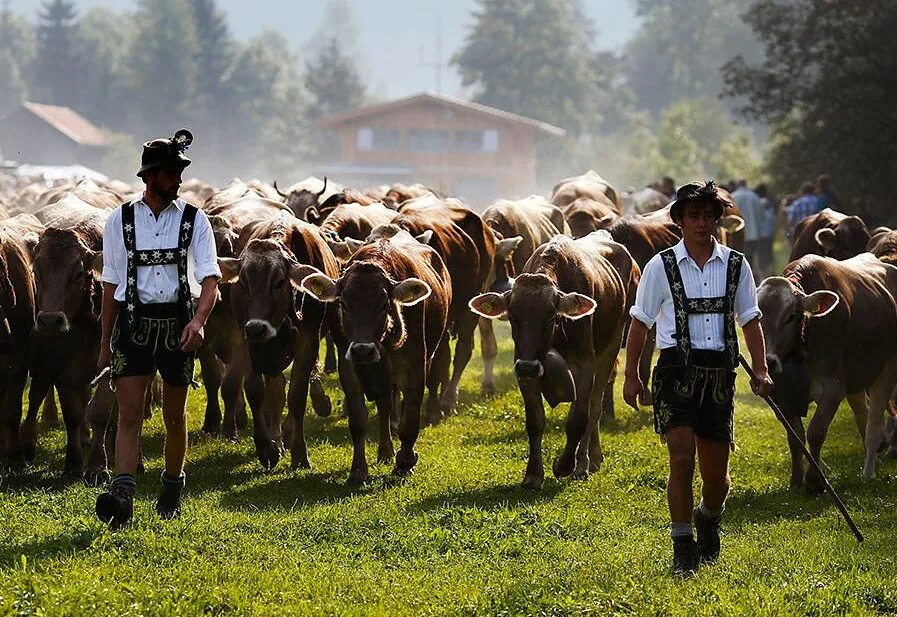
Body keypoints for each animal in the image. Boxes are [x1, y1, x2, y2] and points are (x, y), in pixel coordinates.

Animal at [220, 212, 340, 466]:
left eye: (278, 282)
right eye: (242, 283)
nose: (257, 328)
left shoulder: (309, 340)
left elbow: (297, 395)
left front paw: (299, 454)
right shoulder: (247, 339)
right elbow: (256, 390)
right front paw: (266, 448)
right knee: (275, 389)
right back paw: (277, 436)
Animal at [300, 229, 452, 484]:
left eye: (384, 304)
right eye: (344, 303)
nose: (363, 349)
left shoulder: (415, 365)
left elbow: (410, 416)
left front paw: (405, 461)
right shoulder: (349, 367)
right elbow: (358, 419)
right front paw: (358, 470)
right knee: (384, 405)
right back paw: (385, 452)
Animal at [472, 231, 632, 486]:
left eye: (550, 317)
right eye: (513, 317)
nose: (528, 368)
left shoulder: (585, 365)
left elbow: (578, 419)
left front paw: (565, 464)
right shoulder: (524, 366)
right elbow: (535, 420)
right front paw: (533, 474)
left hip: (611, 346)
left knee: (595, 407)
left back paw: (585, 462)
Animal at [760, 253, 896, 488]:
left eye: (790, 316)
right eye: (756, 316)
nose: (769, 362)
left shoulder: (834, 388)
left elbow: (816, 431)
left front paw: (815, 480)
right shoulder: (783, 394)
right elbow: (794, 436)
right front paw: (796, 480)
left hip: (887, 369)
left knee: (873, 426)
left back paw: (868, 473)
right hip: (856, 381)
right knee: (862, 415)